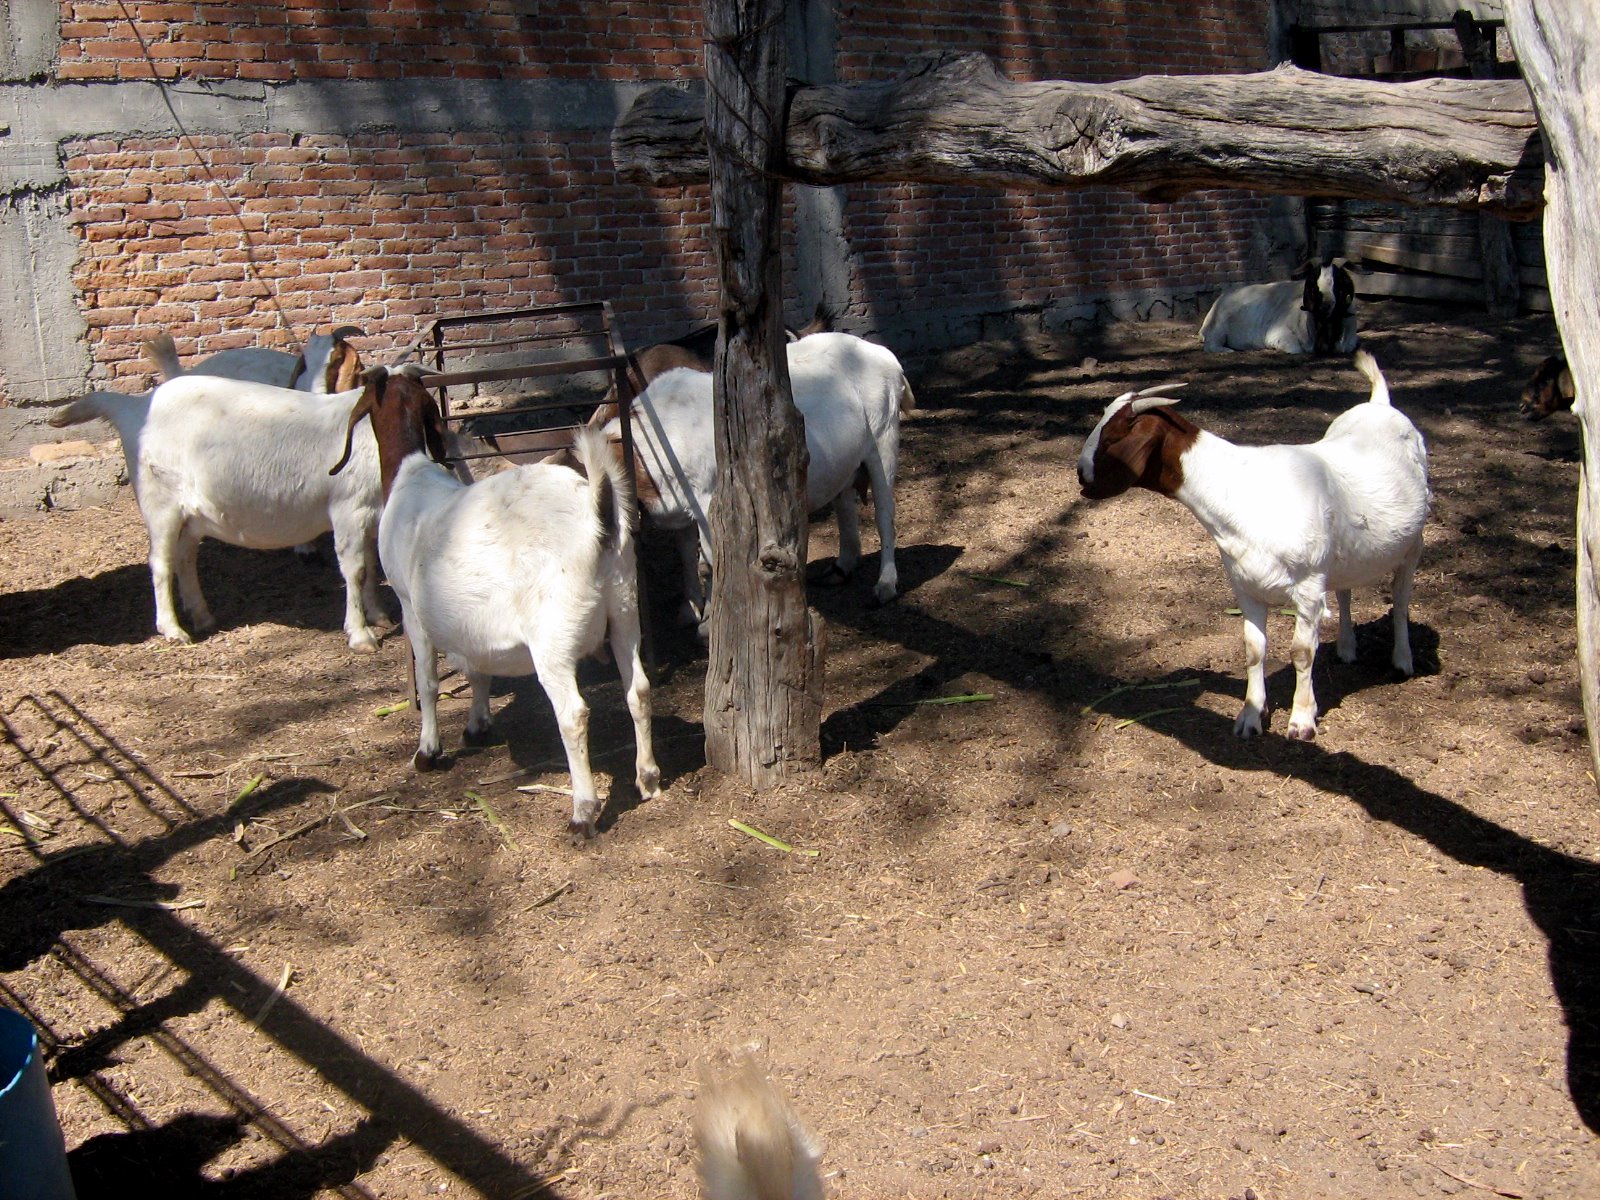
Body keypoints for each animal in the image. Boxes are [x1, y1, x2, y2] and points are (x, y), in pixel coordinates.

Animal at [51, 374, 386, 651]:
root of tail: (135, 405)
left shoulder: (372, 515)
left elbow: (372, 564)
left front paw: (378, 614)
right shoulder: (349, 508)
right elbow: (356, 571)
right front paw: (360, 633)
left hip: (192, 513)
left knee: (185, 556)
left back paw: (201, 615)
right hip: (159, 500)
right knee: (161, 562)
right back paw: (172, 629)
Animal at [331, 366, 659, 840]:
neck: (410, 477)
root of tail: (597, 515)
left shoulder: (413, 610)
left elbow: (429, 682)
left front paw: (428, 752)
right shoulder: (470, 622)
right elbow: (476, 667)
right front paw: (477, 725)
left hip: (554, 638)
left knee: (573, 714)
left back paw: (582, 813)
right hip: (624, 609)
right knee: (639, 689)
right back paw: (647, 779)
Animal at [605, 331, 913, 630]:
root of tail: (883, 354)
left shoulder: (708, 502)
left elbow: (711, 561)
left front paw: (709, 623)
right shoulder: (680, 509)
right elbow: (687, 554)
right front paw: (690, 610)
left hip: (883, 438)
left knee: (885, 512)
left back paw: (885, 585)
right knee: (845, 503)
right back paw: (840, 569)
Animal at [1077, 350, 1429, 740]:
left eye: (1112, 439)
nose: (1080, 472)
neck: (1241, 489)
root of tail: (1379, 403)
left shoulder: (1308, 589)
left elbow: (1302, 653)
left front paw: (1302, 720)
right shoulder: (1246, 586)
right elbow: (1254, 649)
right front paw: (1250, 715)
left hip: (1413, 544)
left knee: (1400, 598)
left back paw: (1402, 660)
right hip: (1344, 555)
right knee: (1345, 591)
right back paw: (1348, 648)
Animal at [1199, 261, 1359, 355]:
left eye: (1339, 287)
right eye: (1313, 287)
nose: (1326, 306)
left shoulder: (1350, 342)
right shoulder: (1277, 335)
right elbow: (1296, 349)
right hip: (1219, 328)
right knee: (1210, 345)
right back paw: (1226, 351)